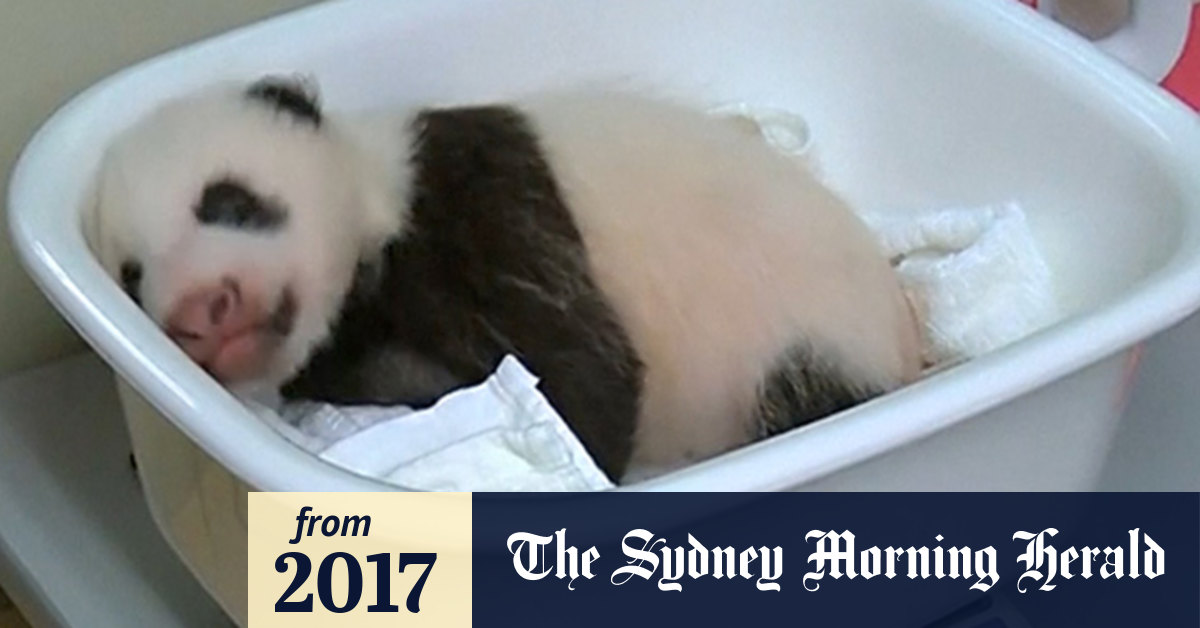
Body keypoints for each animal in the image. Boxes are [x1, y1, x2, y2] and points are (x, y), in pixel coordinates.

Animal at [85, 76, 922, 483]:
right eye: (131, 275)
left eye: (227, 202)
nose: (203, 308)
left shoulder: (486, 199)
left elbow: (583, 367)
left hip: (802, 350)